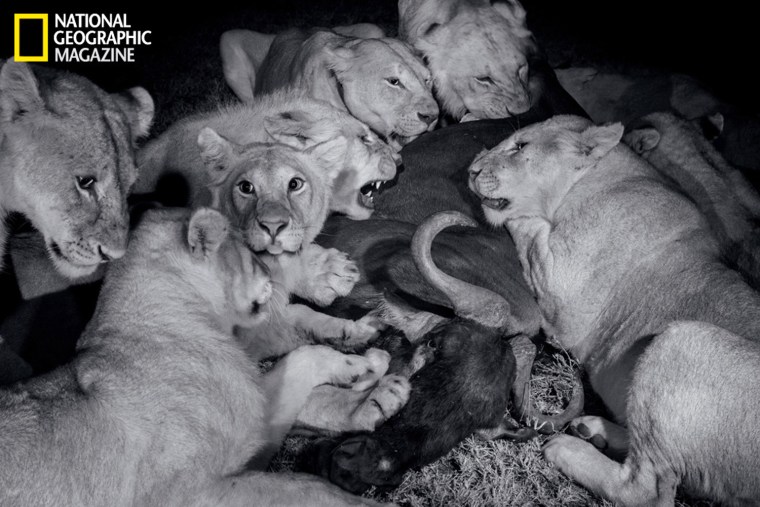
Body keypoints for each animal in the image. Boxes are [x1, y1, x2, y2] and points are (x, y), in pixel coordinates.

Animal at [0, 206, 393, 506]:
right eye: (250, 257)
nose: (271, 272)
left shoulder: (249, 421)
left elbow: (295, 338)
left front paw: (357, 341)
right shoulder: (191, 491)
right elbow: (307, 488)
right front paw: (363, 365)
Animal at [469, 115, 760, 504]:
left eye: (521, 146)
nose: (471, 170)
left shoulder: (565, 289)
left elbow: (525, 225)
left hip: (685, 339)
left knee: (646, 489)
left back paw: (568, 448)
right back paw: (593, 429)